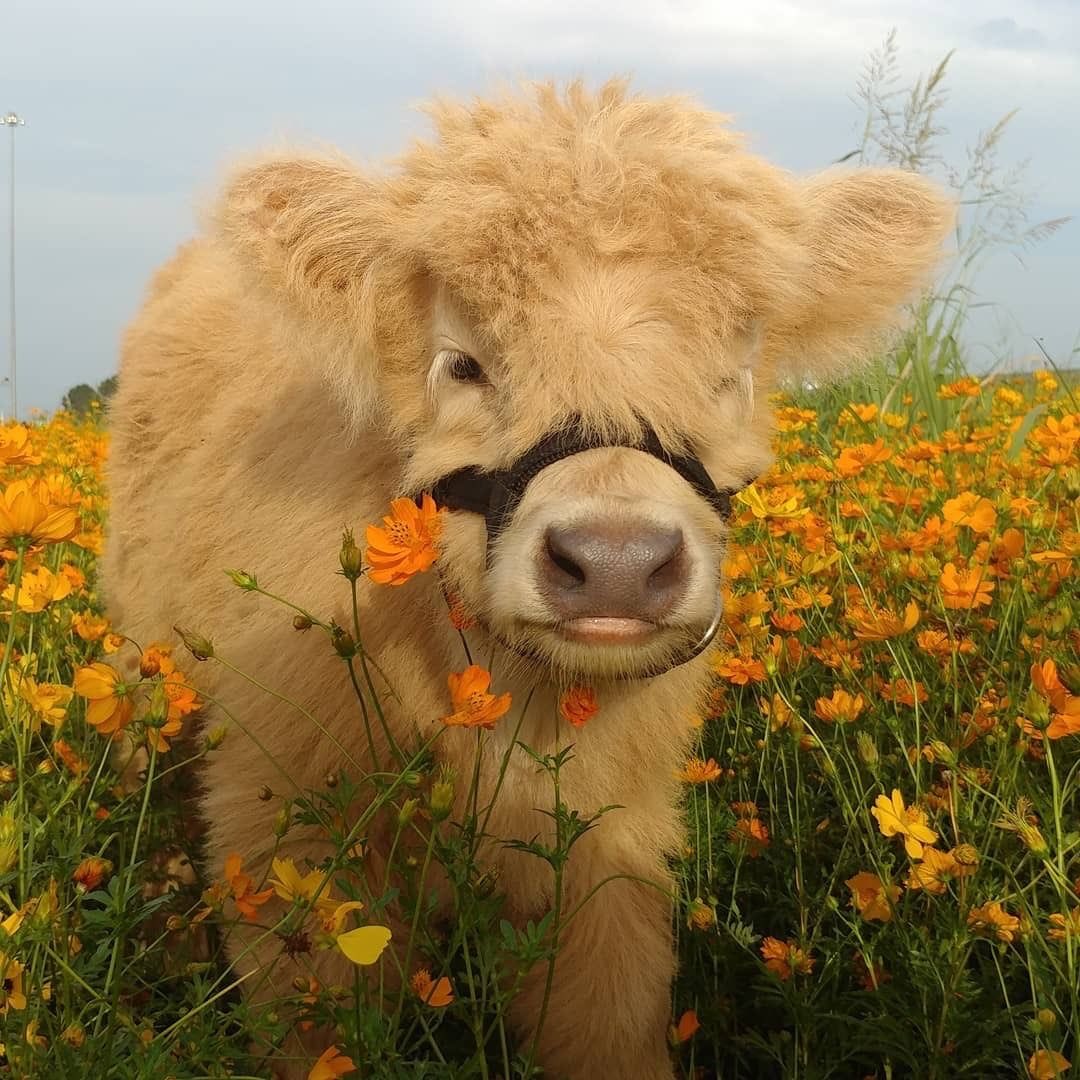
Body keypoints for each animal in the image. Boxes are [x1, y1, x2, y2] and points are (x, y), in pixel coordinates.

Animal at [102, 80, 953, 1079]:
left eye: (732, 374)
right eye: (463, 363)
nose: (617, 564)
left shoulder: (609, 844)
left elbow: (604, 1016)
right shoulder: (284, 824)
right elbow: (319, 1026)